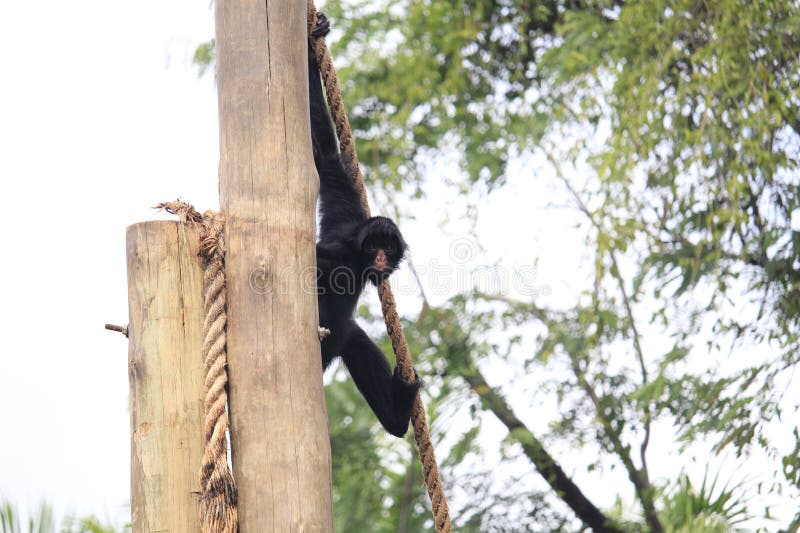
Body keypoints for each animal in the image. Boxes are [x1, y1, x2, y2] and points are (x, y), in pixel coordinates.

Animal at [309, 14, 423, 438]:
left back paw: (397, 419)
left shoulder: (346, 206)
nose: (380, 258)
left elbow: (325, 153)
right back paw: (399, 416)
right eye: (374, 246)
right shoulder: (339, 253)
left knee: (353, 337)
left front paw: (316, 33)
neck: (357, 261)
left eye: (388, 248)